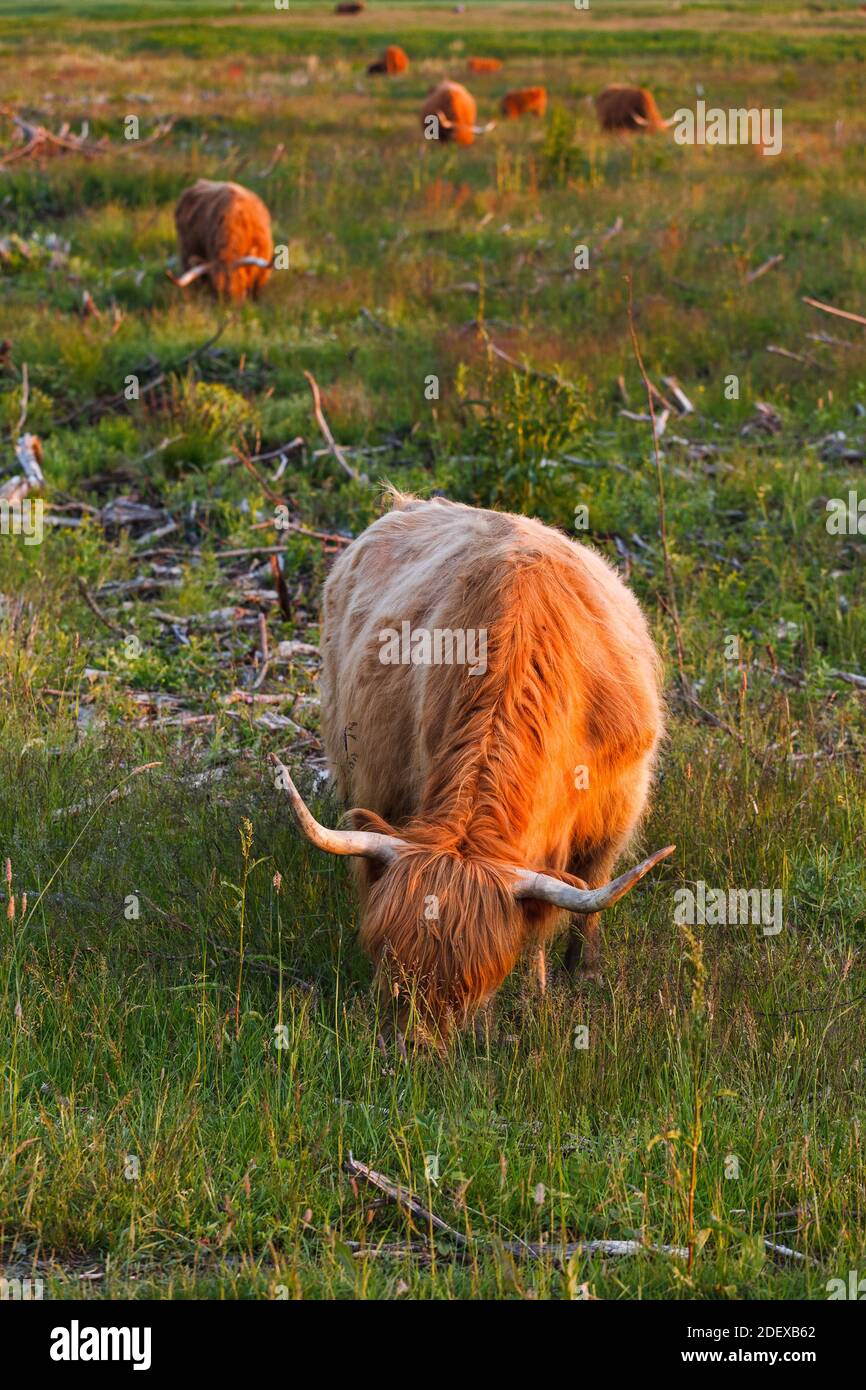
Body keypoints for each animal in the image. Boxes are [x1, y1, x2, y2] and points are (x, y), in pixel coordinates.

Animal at [273, 493, 672, 1044]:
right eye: (387, 960)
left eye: (471, 982)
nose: (410, 1044)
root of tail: (408, 503)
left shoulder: (615, 808)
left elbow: (586, 888)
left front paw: (573, 977)